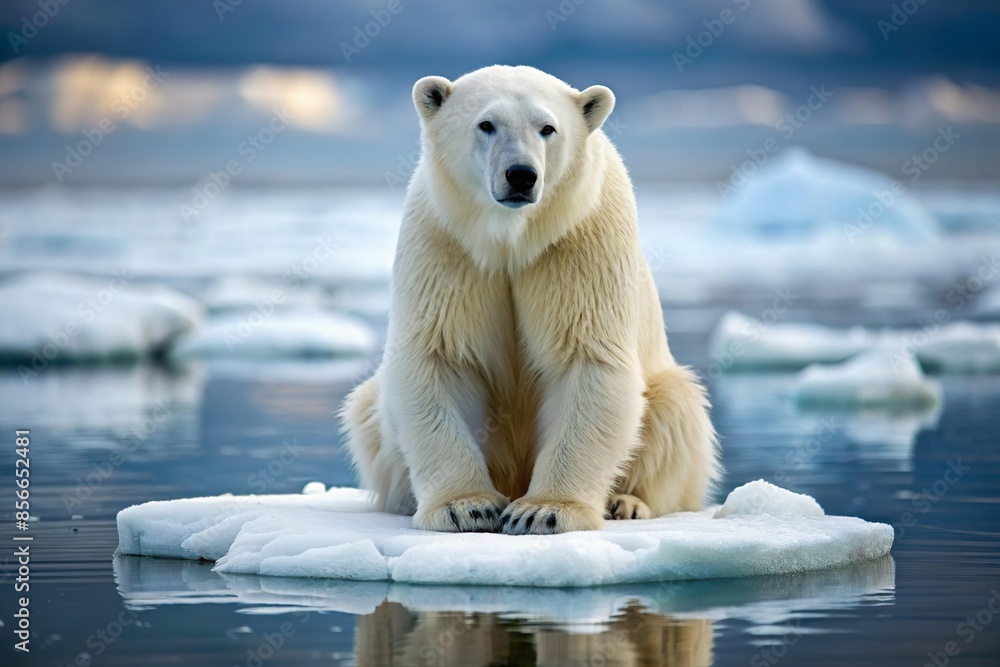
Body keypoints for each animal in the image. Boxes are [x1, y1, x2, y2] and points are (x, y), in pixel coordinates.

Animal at [342, 65, 720, 535]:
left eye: (547, 128)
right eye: (486, 124)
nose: (521, 175)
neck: (512, 238)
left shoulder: (581, 238)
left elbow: (588, 358)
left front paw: (543, 511)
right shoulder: (444, 240)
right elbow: (438, 356)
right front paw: (466, 508)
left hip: (666, 396)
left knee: (675, 410)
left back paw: (627, 502)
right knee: (366, 408)